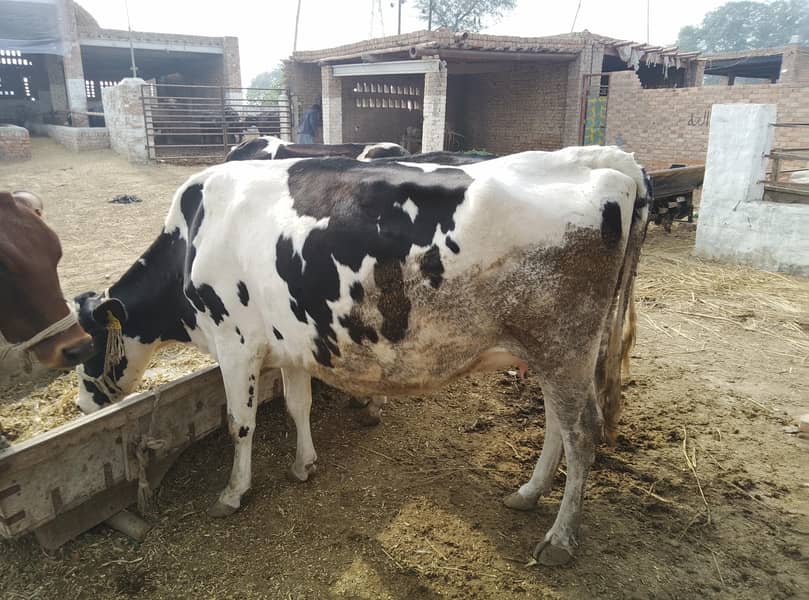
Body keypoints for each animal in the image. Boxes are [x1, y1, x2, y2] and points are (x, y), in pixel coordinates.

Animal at [73, 146, 651, 565]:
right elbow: (298, 405)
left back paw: (559, 539)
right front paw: (303, 464)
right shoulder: (288, 341)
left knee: (581, 435)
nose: (81, 405)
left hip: (565, 346)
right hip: (555, 355)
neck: (192, 237)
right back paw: (528, 494)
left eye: (83, 346)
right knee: (557, 426)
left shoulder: (234, 343)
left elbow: (241, 424)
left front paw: (234, 493)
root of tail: (608, 161)